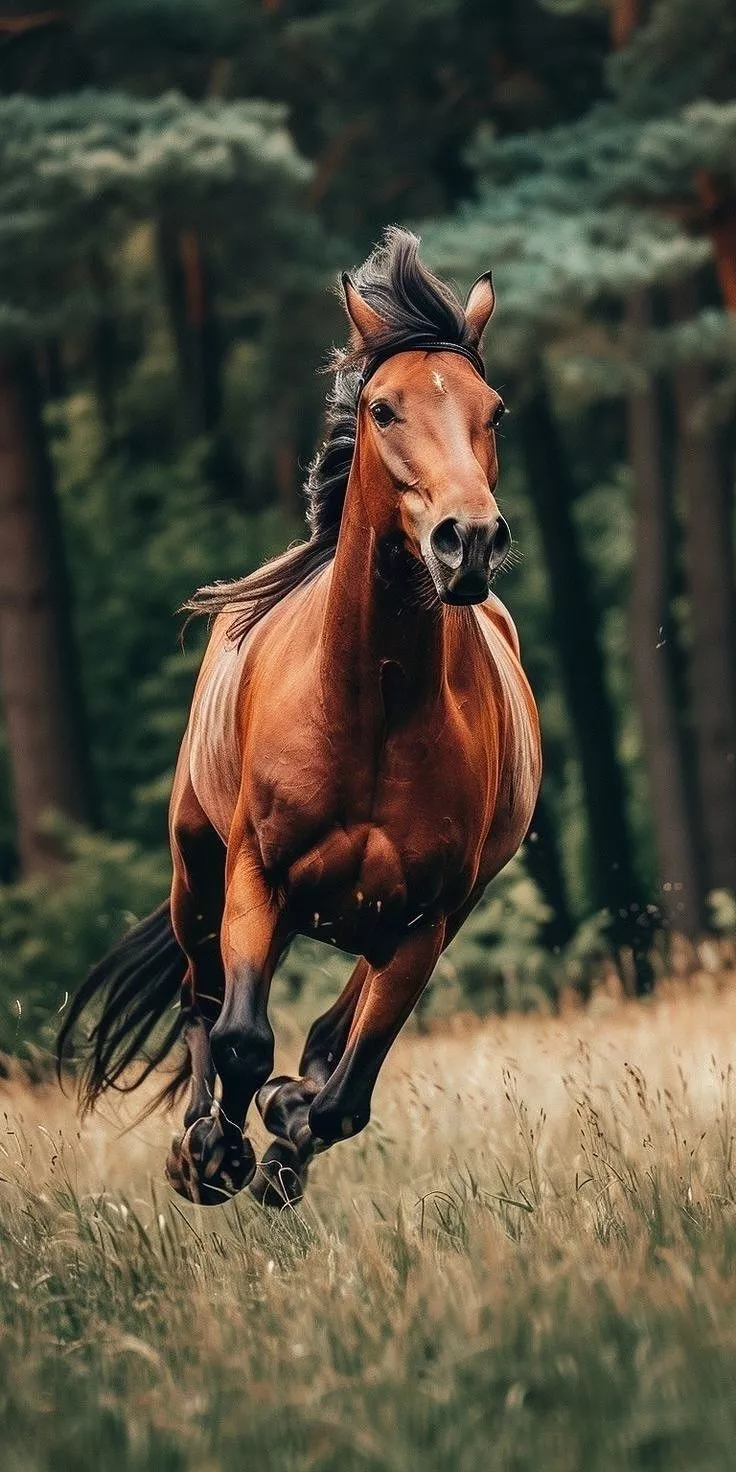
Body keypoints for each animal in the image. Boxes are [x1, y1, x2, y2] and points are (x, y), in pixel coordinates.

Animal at [58, 228, 541, 1207]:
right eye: (384, 409)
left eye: (496, 411)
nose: (468, 540)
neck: (374, 704)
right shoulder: (258, 874)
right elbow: (241, 1038)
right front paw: (212, 1155)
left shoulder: (423, 921)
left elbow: (344, 1089)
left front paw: (283, 1139)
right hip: (197, 873)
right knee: (204, 1004)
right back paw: (202, 1141)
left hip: (414, 920)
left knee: (325, 1035)